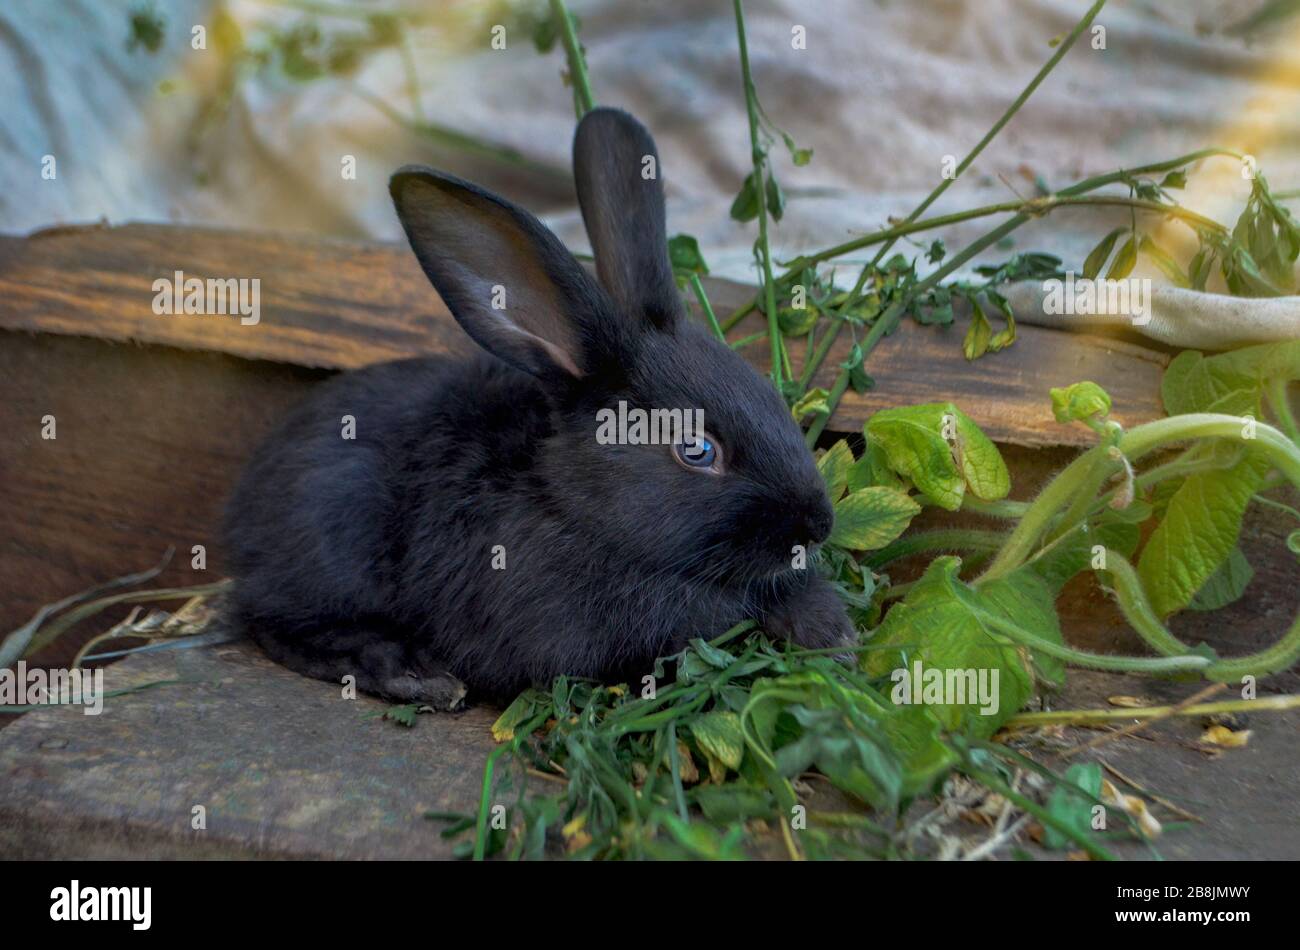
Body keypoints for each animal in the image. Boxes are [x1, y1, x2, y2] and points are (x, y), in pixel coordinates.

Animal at [222, 107, 852, 708]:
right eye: (696, 450)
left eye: (769, 394)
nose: (817, 526)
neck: (568, 504)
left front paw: (832, 631)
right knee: (280, 627)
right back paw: (413, 674)